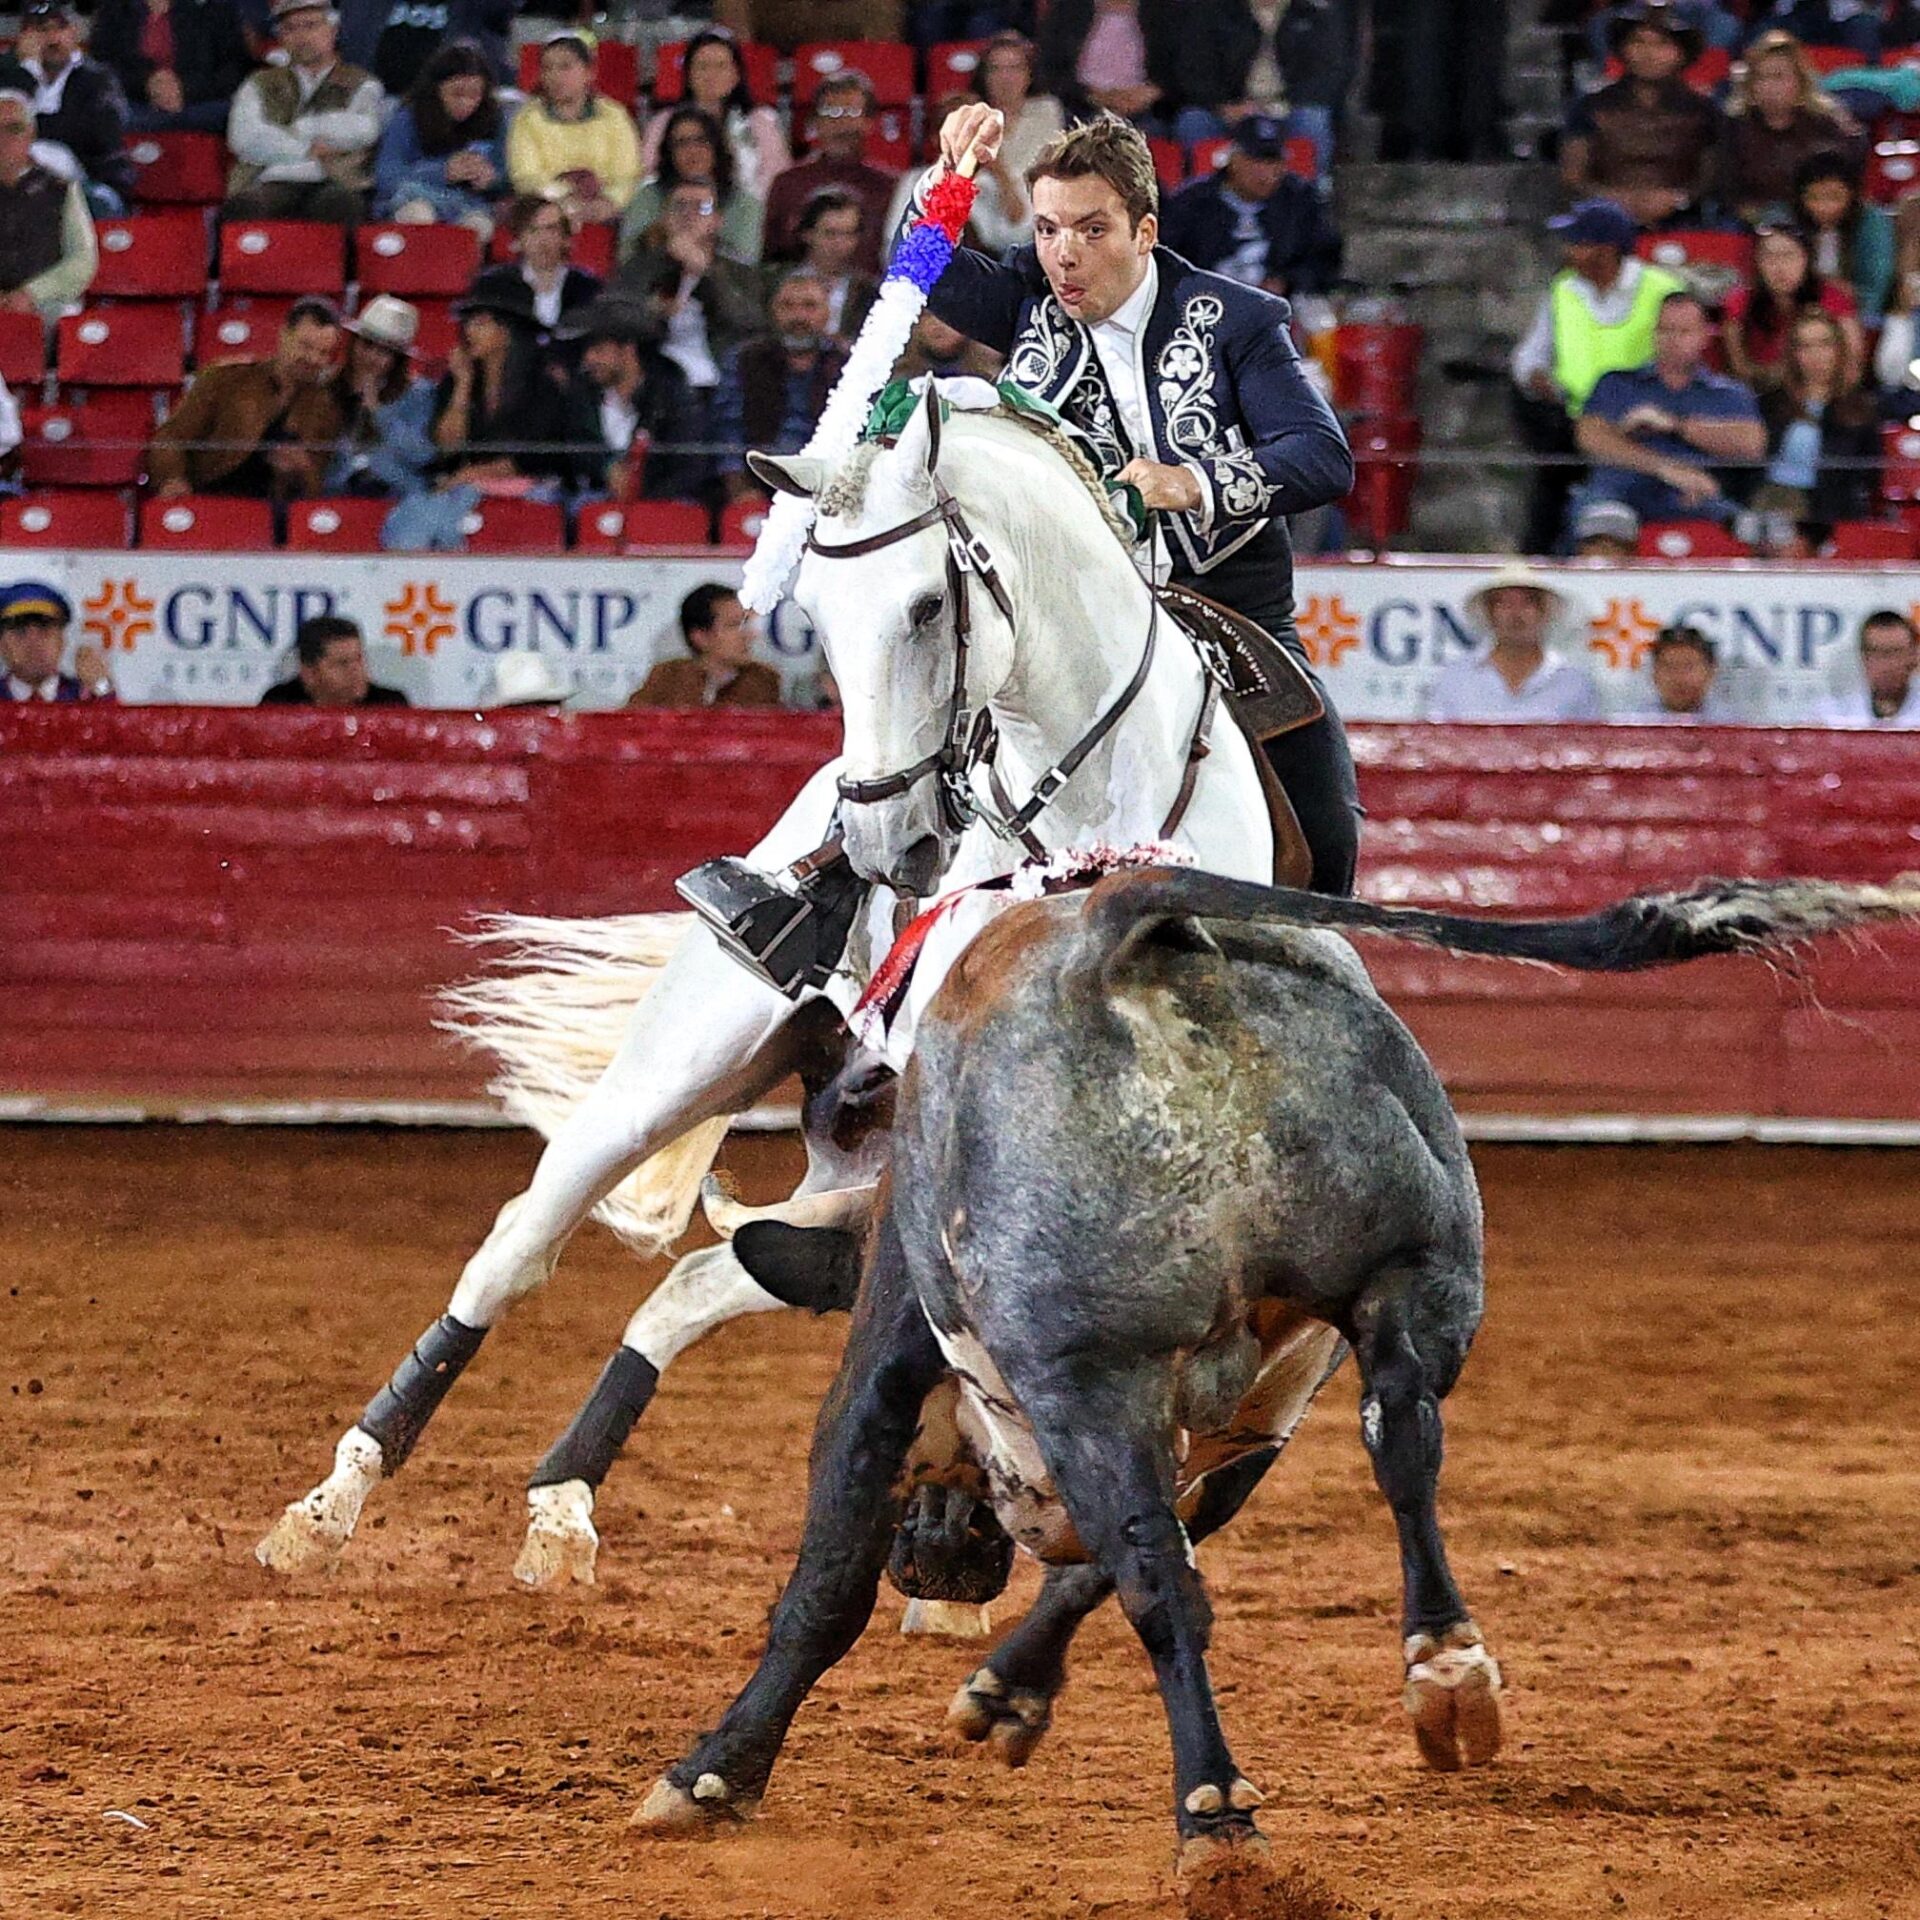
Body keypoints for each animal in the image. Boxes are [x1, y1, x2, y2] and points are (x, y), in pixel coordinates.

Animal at [256, 385, 1279, 1584]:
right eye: (819, 624)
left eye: (929, 606)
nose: (890, 841)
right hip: (680, 1067)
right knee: (520, 1246)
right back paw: (335, 1497)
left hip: (842, 1167)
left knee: (711, 1280)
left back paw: (567, 1503)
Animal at [635, 867, 1920, 1898]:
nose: (943, 1562)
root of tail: (1124, 924)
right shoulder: (1256, 1419)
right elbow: (1150, 1541)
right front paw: (1007, 1690)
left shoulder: (906, 1355)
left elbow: (832, 1574)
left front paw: (709, 1777)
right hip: (1414, 1278)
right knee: (1401, 1443)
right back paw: (1447, 1671)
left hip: (1087, 1367)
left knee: (1162, 1581)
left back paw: (1217, 1821)